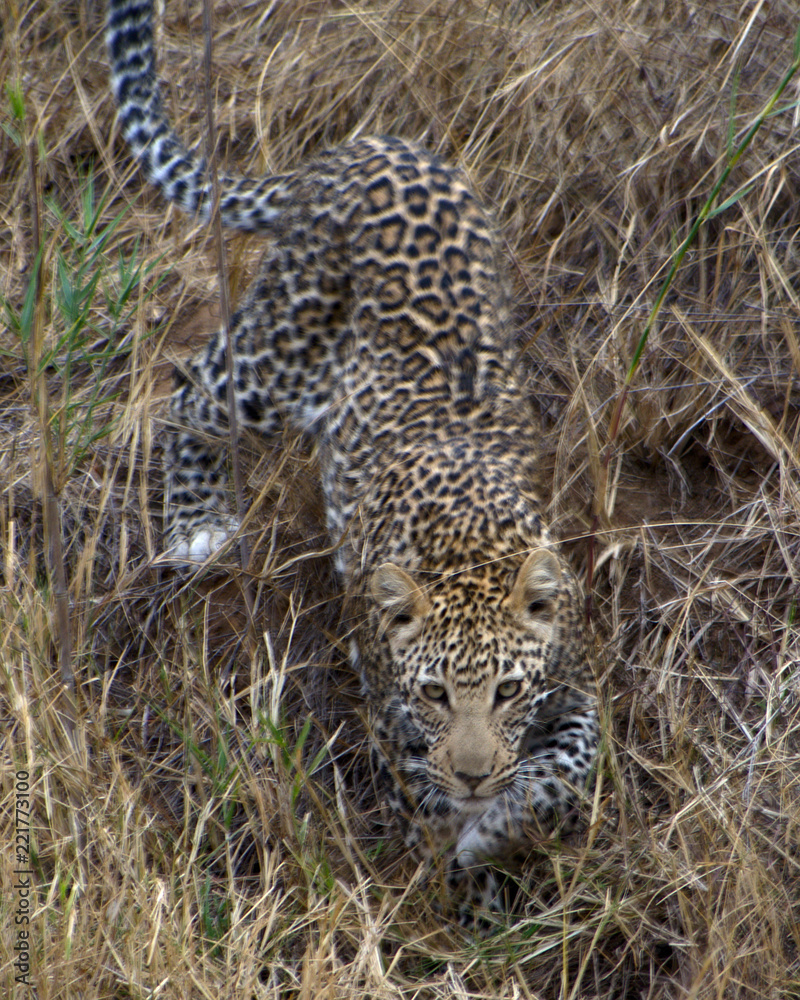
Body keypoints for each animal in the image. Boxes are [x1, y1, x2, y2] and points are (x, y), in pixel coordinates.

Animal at [107, 0, 598, 924]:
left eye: (507, 692)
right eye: (435, 693)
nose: (475, 774)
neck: (469, 547)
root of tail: (360, 150)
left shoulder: (576, 683)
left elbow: (567, 775)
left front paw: (503, 827)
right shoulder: (392, 719)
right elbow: (428, 810)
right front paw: (471, 893)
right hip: (278, 358)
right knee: (184, 395)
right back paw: (198, 527)